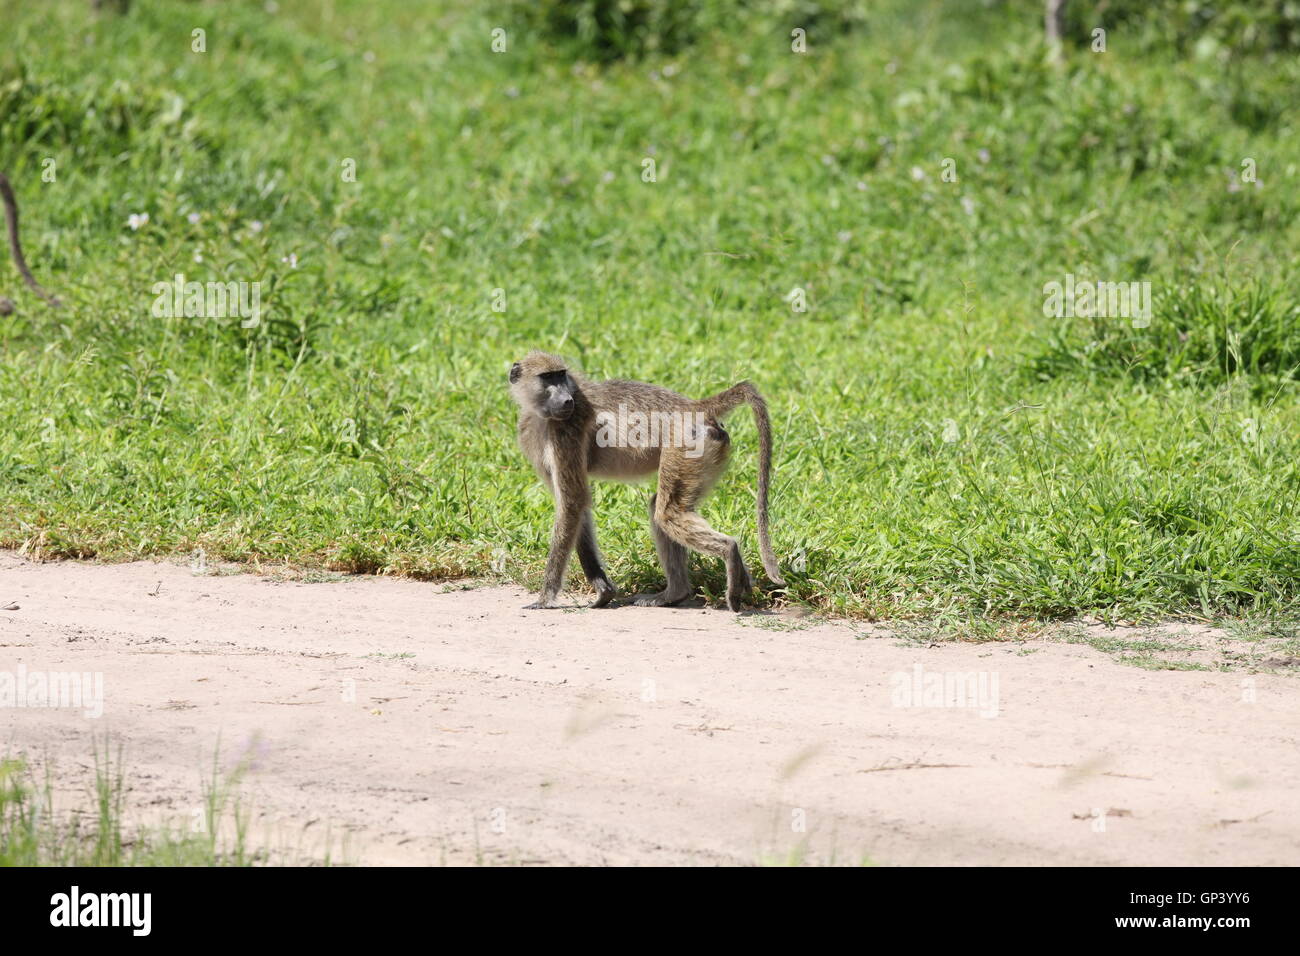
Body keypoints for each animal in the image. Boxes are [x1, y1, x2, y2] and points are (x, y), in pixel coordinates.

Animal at [508, 350, 784, 612]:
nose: (567, 400)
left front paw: (545, 598)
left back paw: (729, 552)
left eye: (561, 375)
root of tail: (694, 407)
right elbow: (577, 505)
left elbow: (572, 503)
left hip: (686, 445)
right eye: (548, 377)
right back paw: (675, 594)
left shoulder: (566, 430)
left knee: (667, 513)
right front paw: (603, 591)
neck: (540, 415)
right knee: (661, 508)